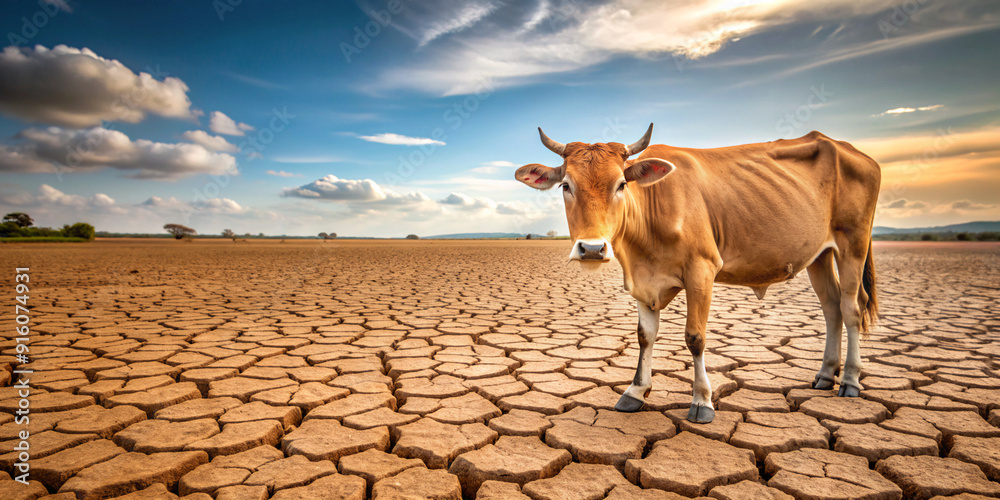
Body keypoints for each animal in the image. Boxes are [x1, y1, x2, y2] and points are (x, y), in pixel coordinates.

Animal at [515, 124, 880, 423]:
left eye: (621, 184)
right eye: (566, 185)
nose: (591, 248)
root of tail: (852, 151)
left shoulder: (701, 271)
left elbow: (695, 337)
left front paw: (702, 401)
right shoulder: (643, 280)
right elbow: (645, 336)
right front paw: (635, 391)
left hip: (852, 243)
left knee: (851, 307)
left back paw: (849, 380)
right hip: (819, 254)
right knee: (831, 308)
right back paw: (825, 375)